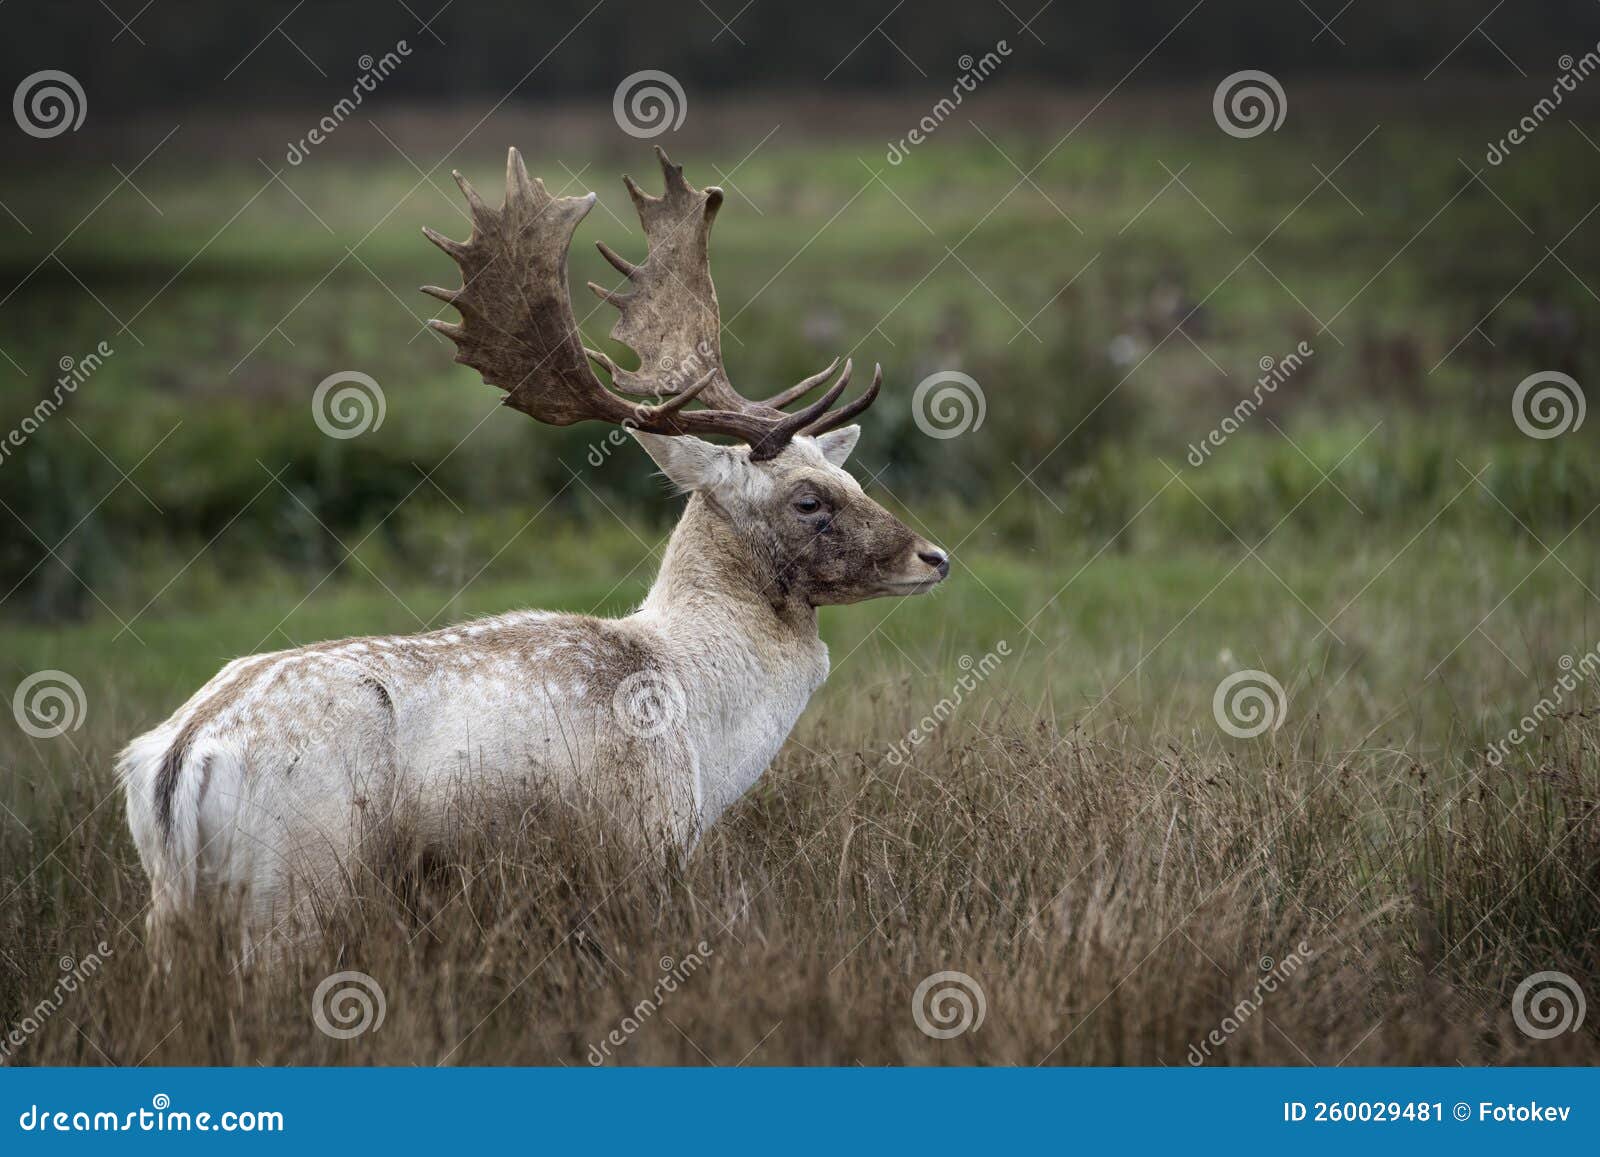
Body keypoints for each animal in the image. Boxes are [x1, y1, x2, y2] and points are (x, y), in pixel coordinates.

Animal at [118, 147, 949, 956]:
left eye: (851, 476)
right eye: (809, 500)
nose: (933, 557)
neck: (700, 717)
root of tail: (177, 759)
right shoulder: (635, 845)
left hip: (175, 917)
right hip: (295, 888)